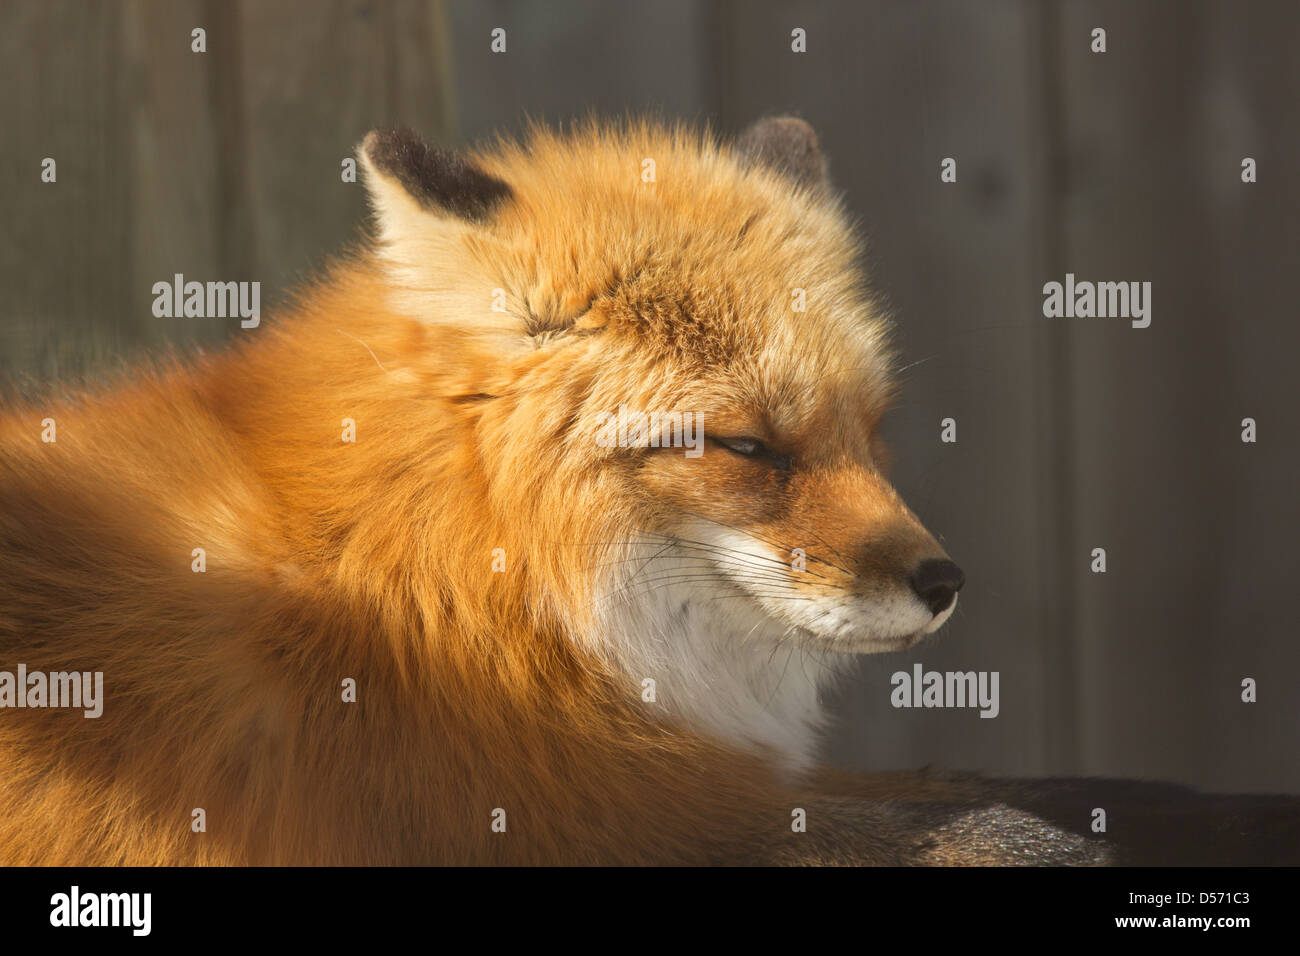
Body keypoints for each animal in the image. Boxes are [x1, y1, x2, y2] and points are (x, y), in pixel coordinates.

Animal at [0, 116, 1295, 865]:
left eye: (870, 429)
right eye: (748, 446)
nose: (943, 583)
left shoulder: (692, 776)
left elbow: (1069, 790)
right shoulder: (564, 812)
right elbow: (990, 829)